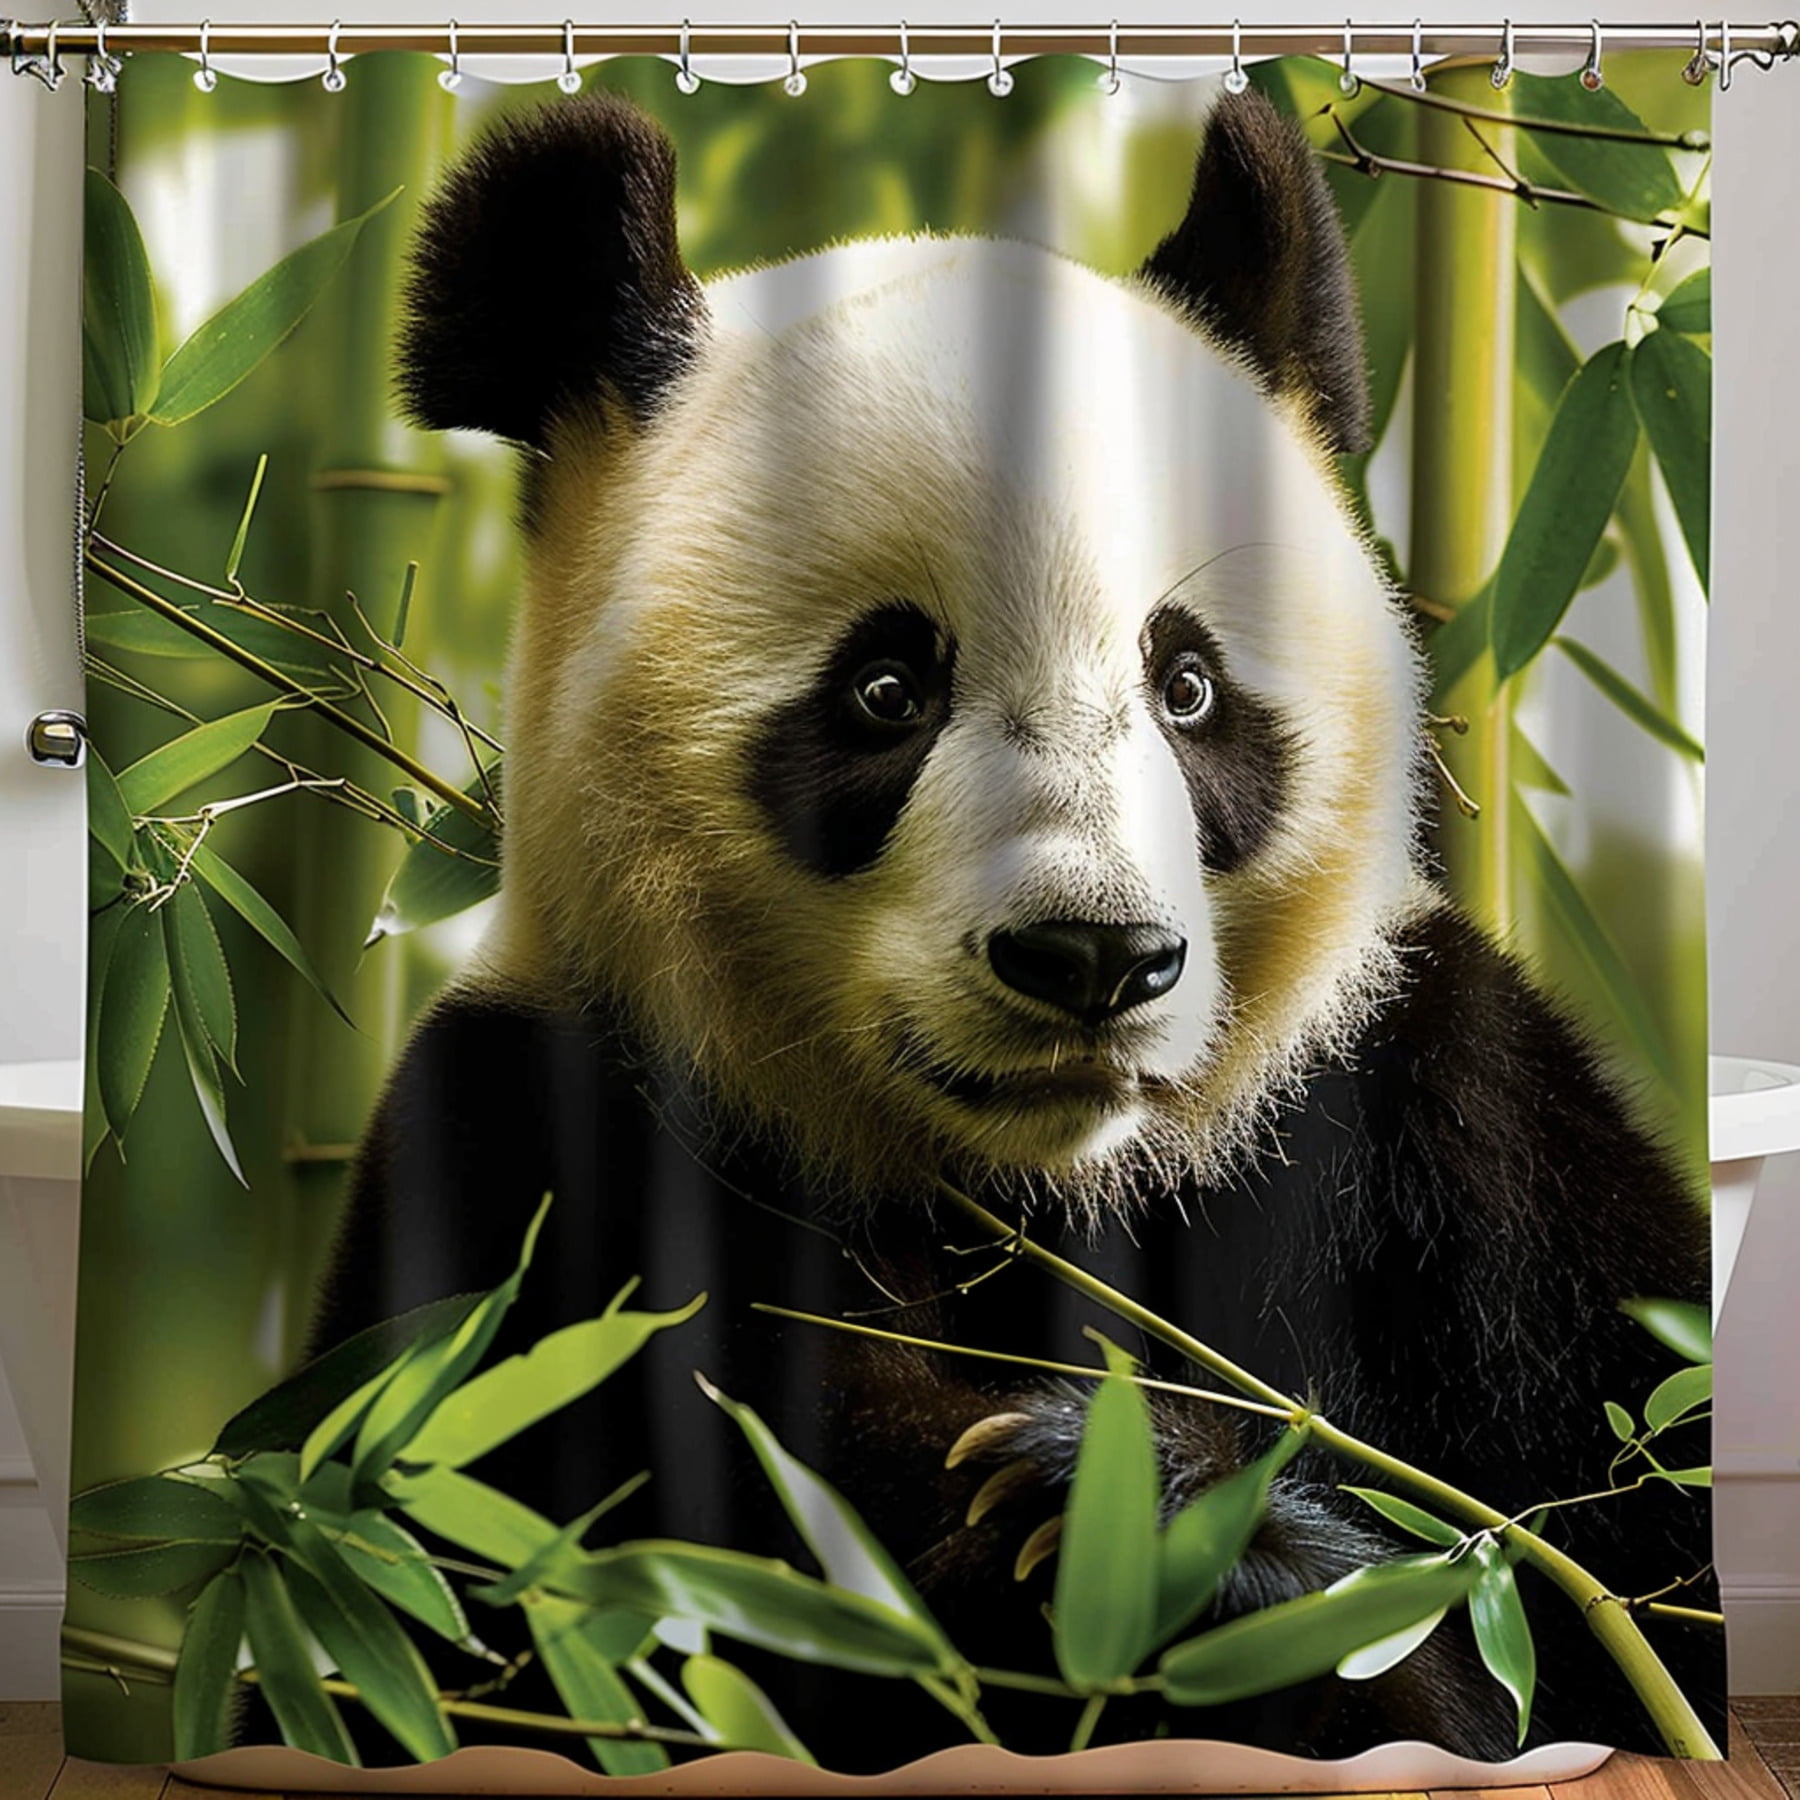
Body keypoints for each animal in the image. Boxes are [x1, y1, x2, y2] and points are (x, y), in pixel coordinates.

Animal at [313, 88, 1720, 1771]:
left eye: (1188, 688)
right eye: (885, 690)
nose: (1095, 959)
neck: (1020, 1188)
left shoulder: (1451, 1141)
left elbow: (1640, 1577)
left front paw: (1151, 1525)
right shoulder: (524, 1156)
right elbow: (452, 1609)